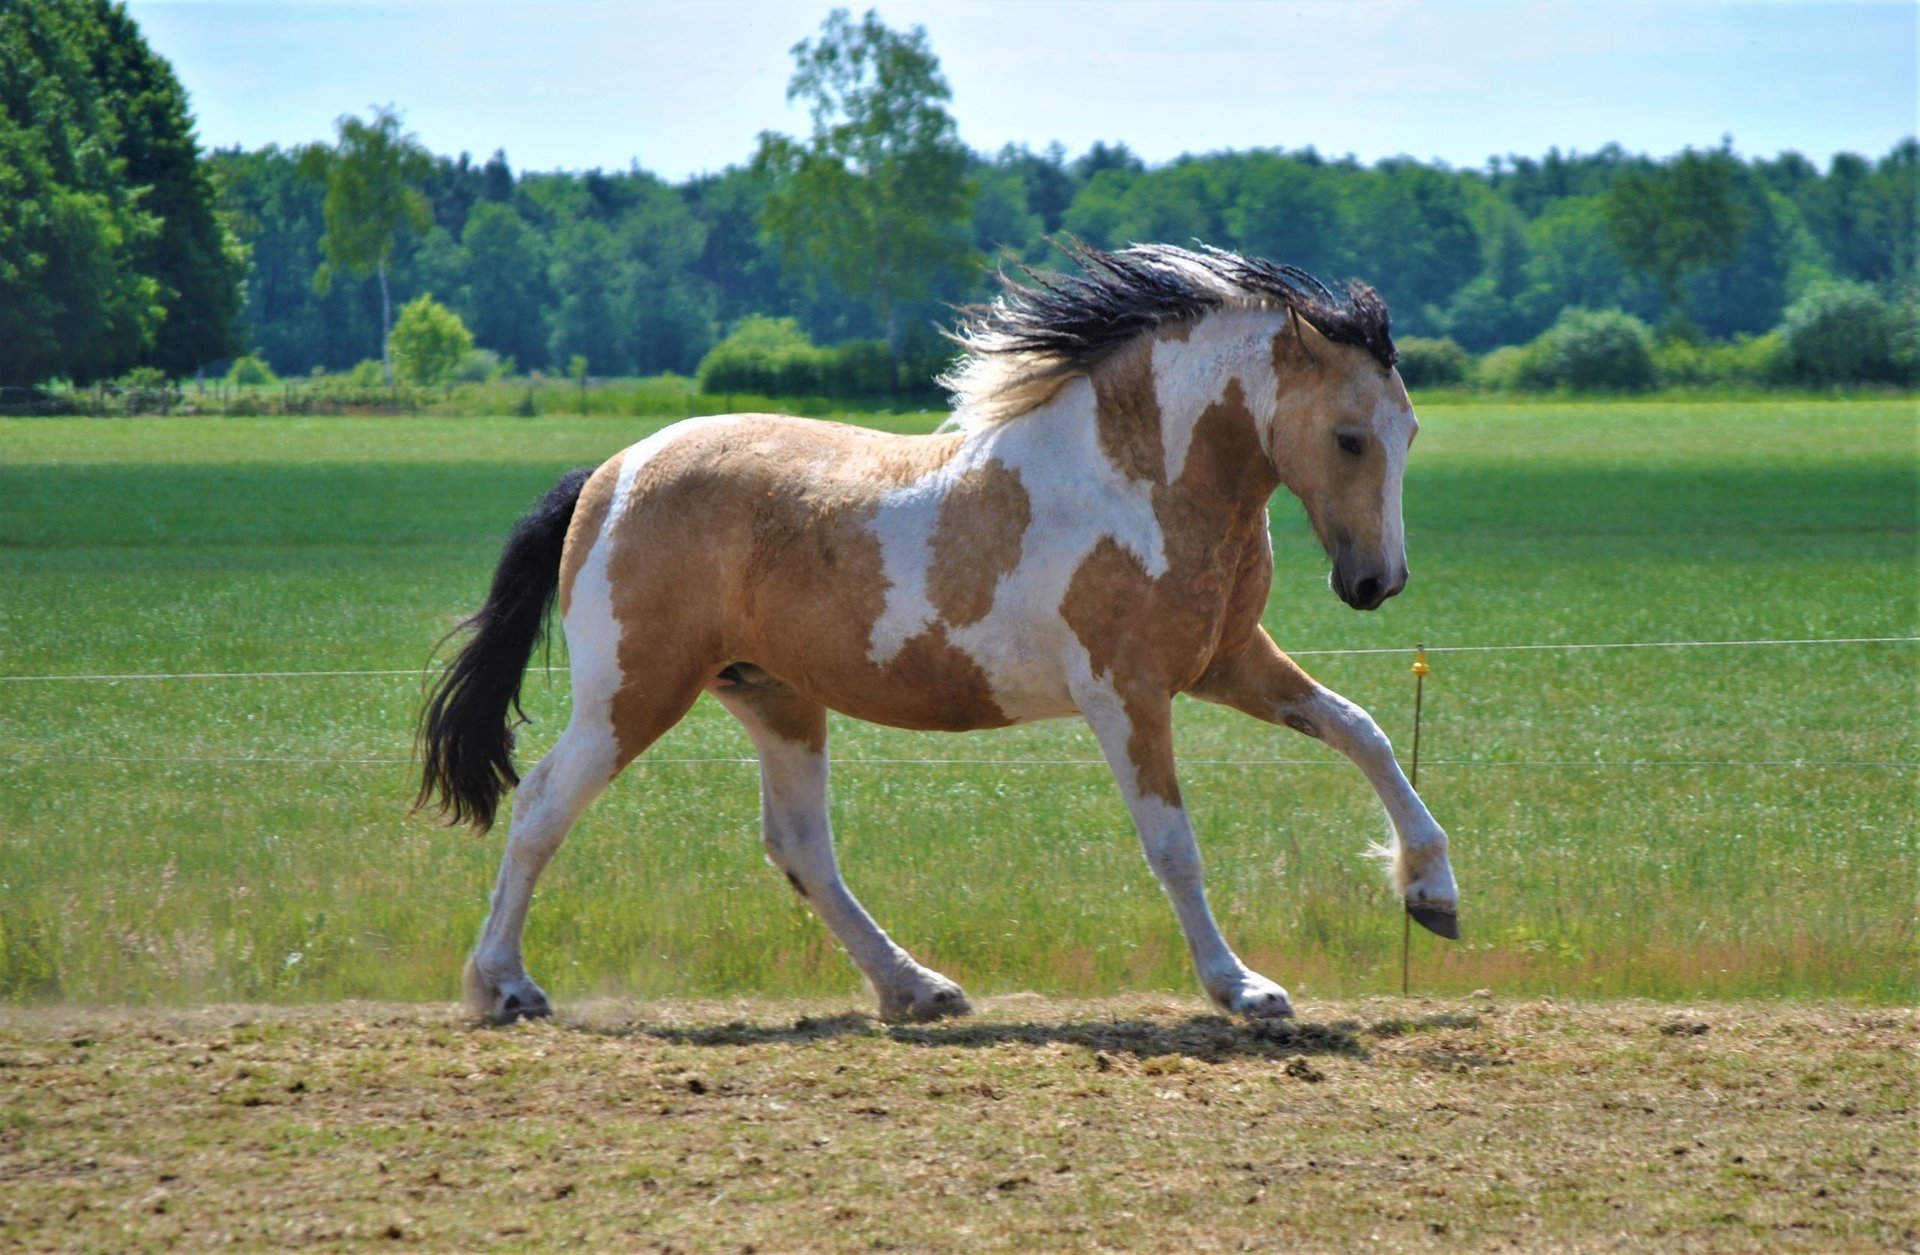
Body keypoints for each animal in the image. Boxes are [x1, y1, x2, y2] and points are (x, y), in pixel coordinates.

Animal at [416, 241, 1459, 1026]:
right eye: (1350, 436)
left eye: (1408, 431)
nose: (1376, 582)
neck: (1137, 479)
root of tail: (609, 474)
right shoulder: (1125, 692)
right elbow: (1173, 843)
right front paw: (1243, 988)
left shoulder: (1229, 662)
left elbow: (1362, 730)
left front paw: (1433, 896)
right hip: (633, 690)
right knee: (543, 803)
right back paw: (504, 987)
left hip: (774, 696)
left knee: (800, 845)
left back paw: (918, 989)